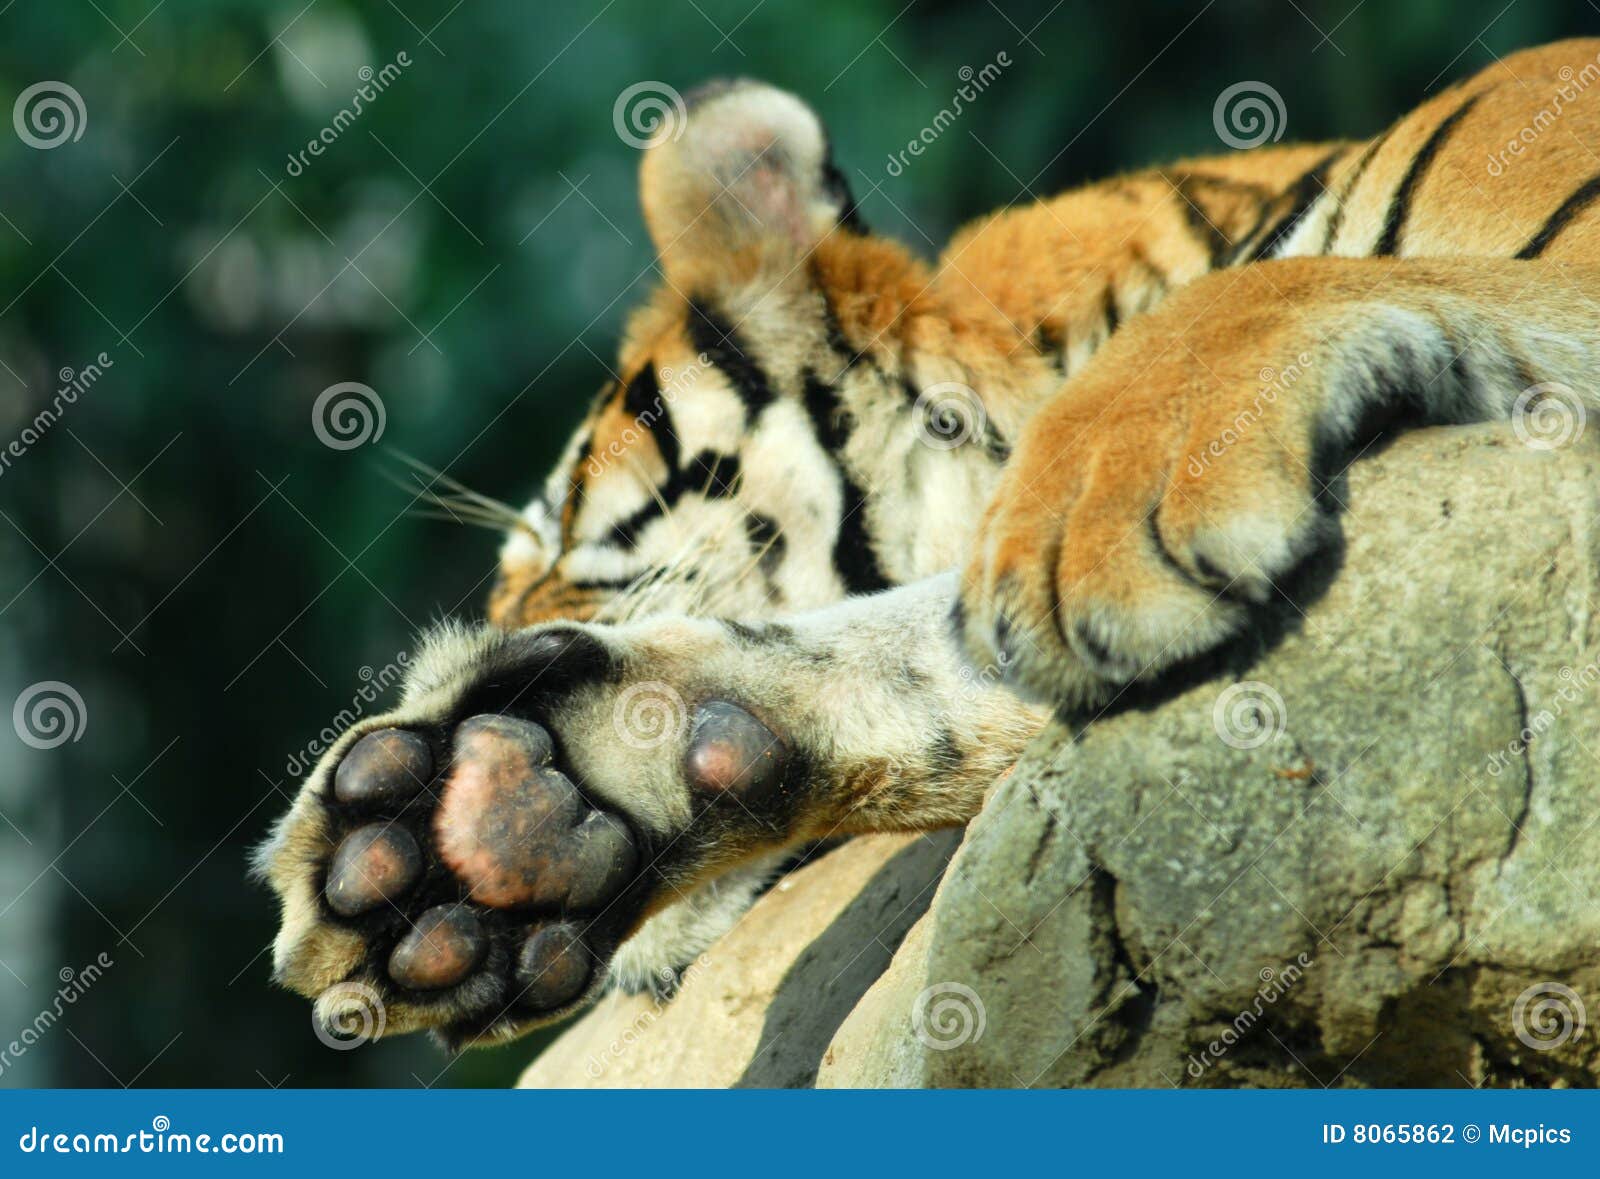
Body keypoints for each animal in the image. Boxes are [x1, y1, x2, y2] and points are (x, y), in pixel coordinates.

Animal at [258, 41, 1600, 1048]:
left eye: (559, 552)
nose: (500, 622)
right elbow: (902, 663)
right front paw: (479, 823)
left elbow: (1241, 302)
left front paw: (1110, 509)